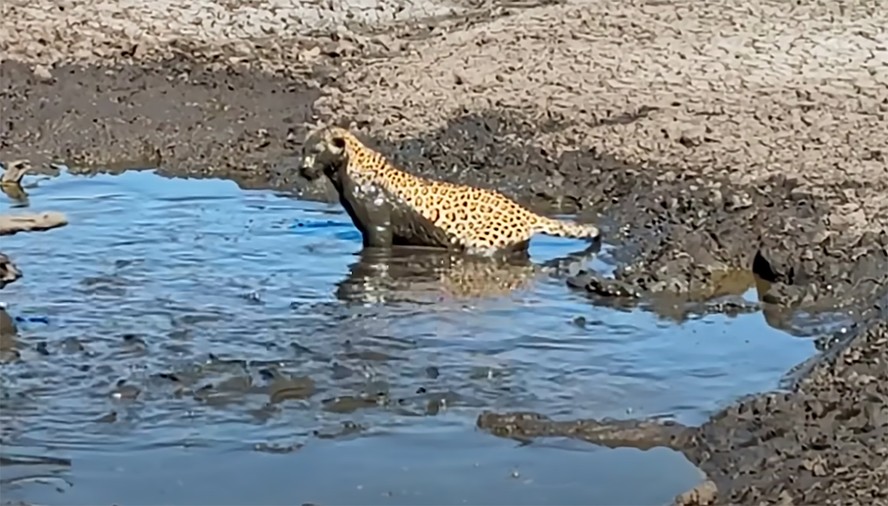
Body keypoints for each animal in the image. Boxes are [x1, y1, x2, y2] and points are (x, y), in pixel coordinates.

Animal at [299, 125, 601, 258]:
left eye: (316, 150)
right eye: (303, 150)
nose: (303, 169)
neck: (348, 167)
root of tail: (524, 211)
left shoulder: (379, 232)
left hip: (479, 243)